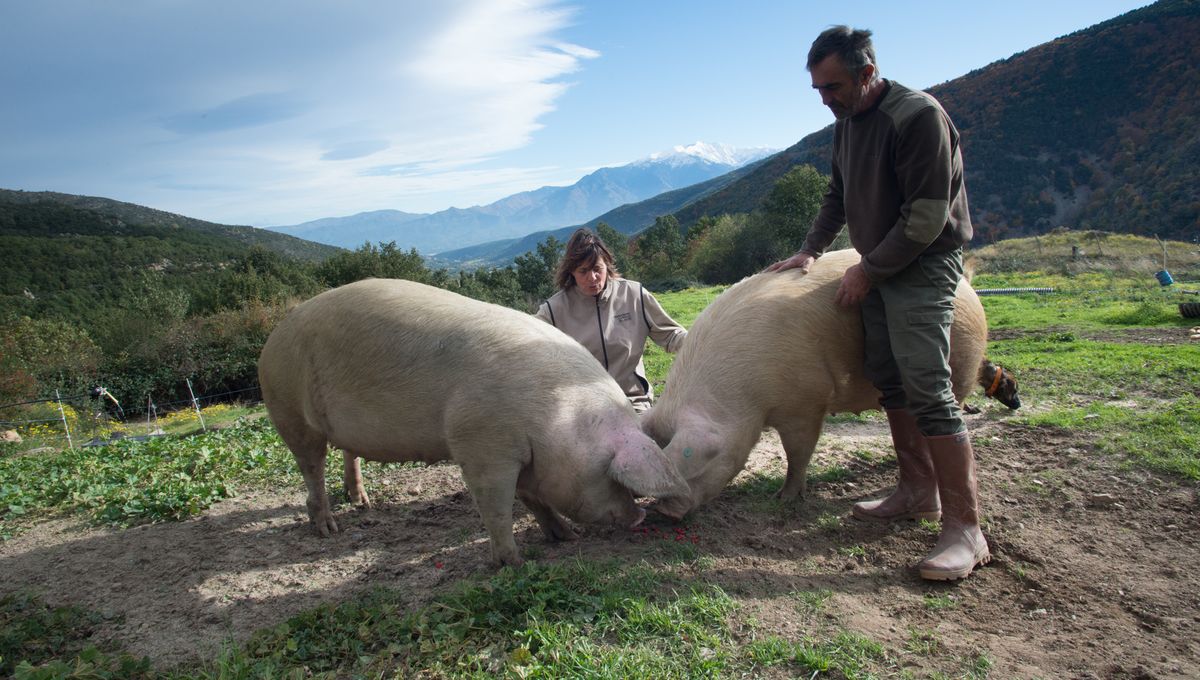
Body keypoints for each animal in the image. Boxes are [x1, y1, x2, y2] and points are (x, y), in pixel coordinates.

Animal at [258, 278, 687, 566]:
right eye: (612, 478)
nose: (640, 516)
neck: (560, 425)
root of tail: (273, 336)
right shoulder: (480, 445)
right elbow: (495, 506)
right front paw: (513, 563)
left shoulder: (524, 458)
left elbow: (535, 499)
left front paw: (566, 536)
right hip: (288, 409)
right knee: (311, 467)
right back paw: (329, 528)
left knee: (348, 454)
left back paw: (361, 504)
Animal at [641, 248, 989, 518]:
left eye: (704, 455)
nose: (666, 510)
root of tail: (967, 284)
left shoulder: (806, 402)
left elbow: (798, 451)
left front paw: (783, 499)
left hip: (955, 366)